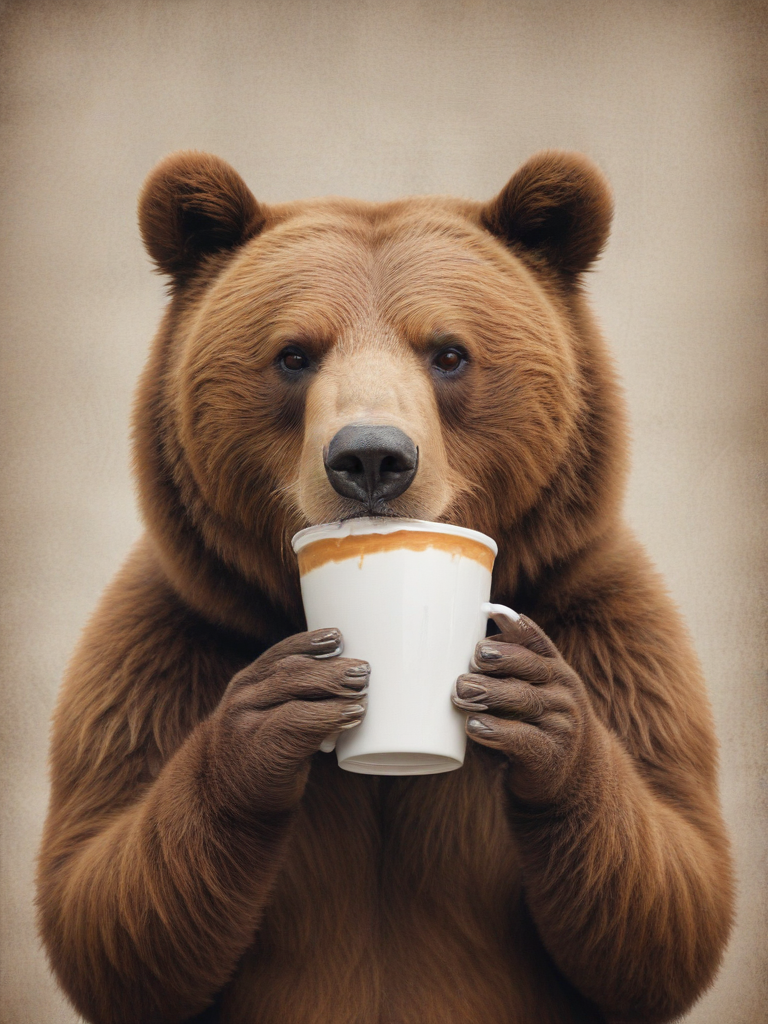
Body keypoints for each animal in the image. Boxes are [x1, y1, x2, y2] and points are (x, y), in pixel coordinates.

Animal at [36, 150, 734, 1024]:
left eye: (449, 352)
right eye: (294, 353)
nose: (371, 456)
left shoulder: (609, 628)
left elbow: (673, 899)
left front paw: (538, 708)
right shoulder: (170, 645)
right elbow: (102, 904)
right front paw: (275, 714)